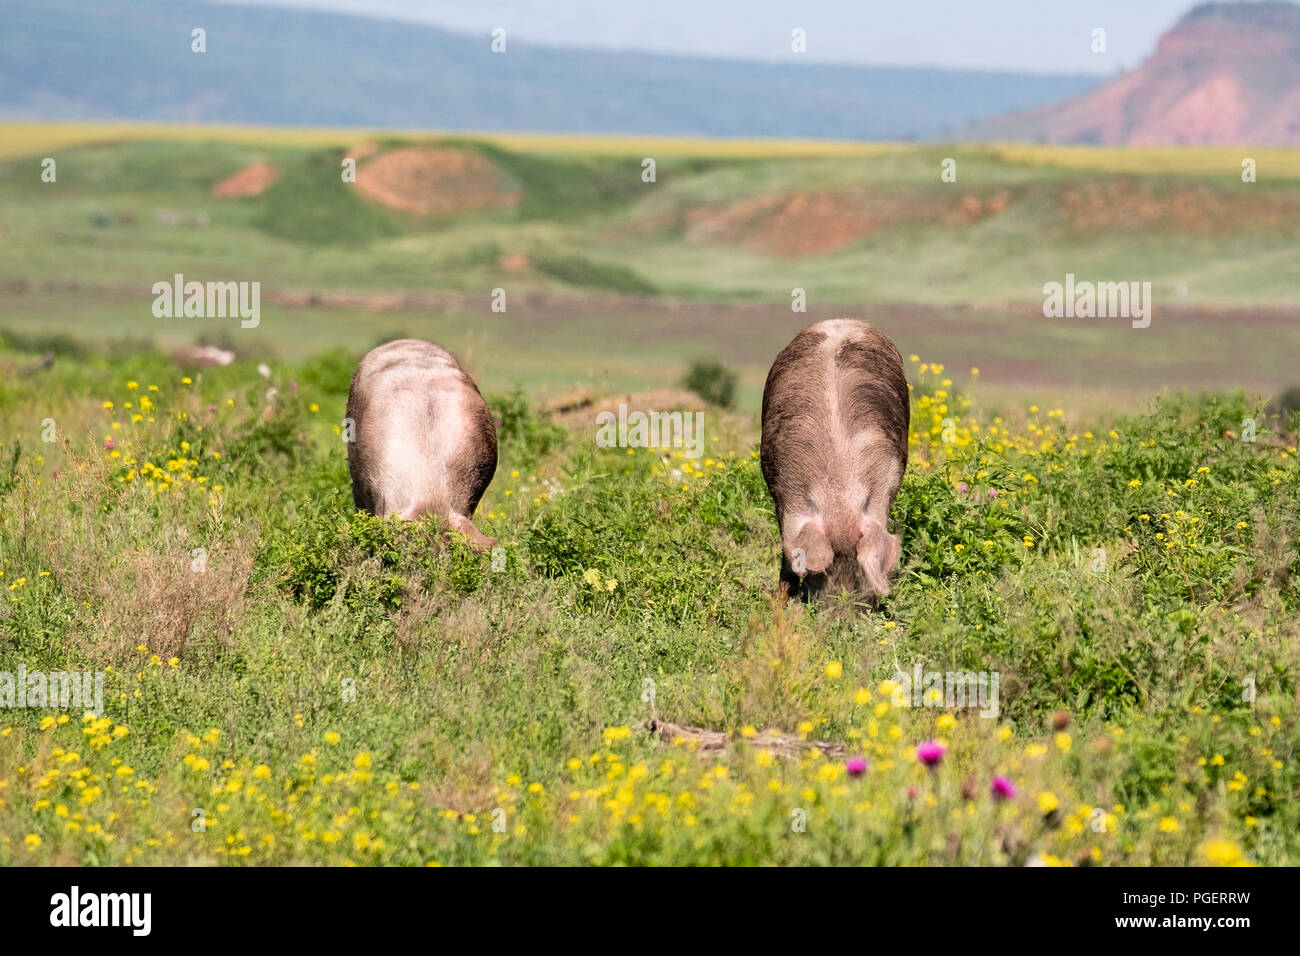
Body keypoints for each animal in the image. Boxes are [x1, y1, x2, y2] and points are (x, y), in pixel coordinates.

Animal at [760, 319, 910, 603]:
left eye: (857, 569)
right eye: (822, 573)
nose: (840, 602)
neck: (838, 495)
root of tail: (842, 321)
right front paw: (780, 600)